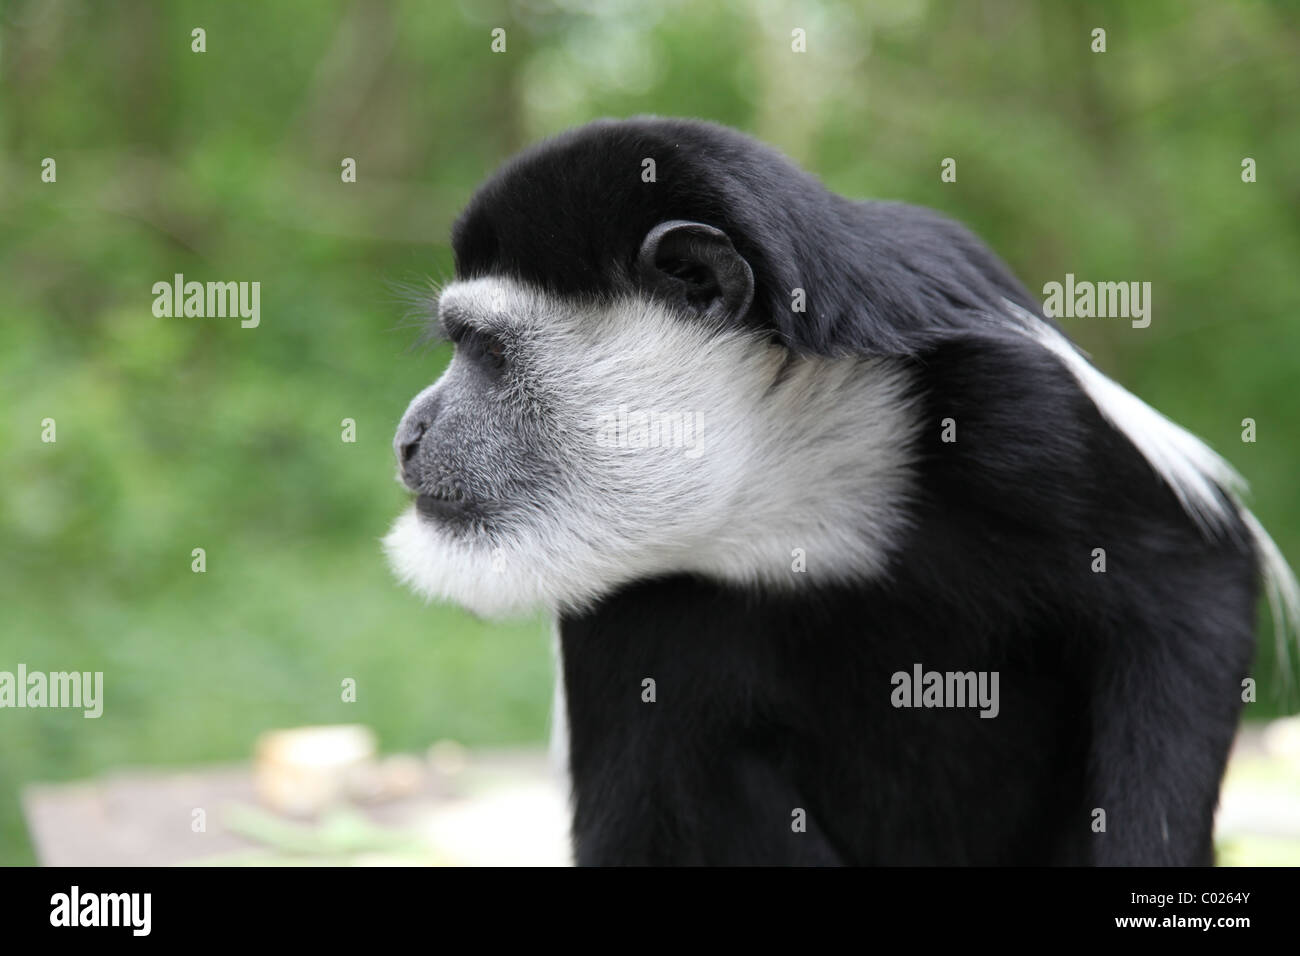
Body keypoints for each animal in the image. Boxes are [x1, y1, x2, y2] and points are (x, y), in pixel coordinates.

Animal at [384, 116, 1298, 865]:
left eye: (488, 352)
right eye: (462, 344)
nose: (407, 437)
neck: (786, 481)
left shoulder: (1022, 407)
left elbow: (1186, 583)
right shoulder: (623, 621)